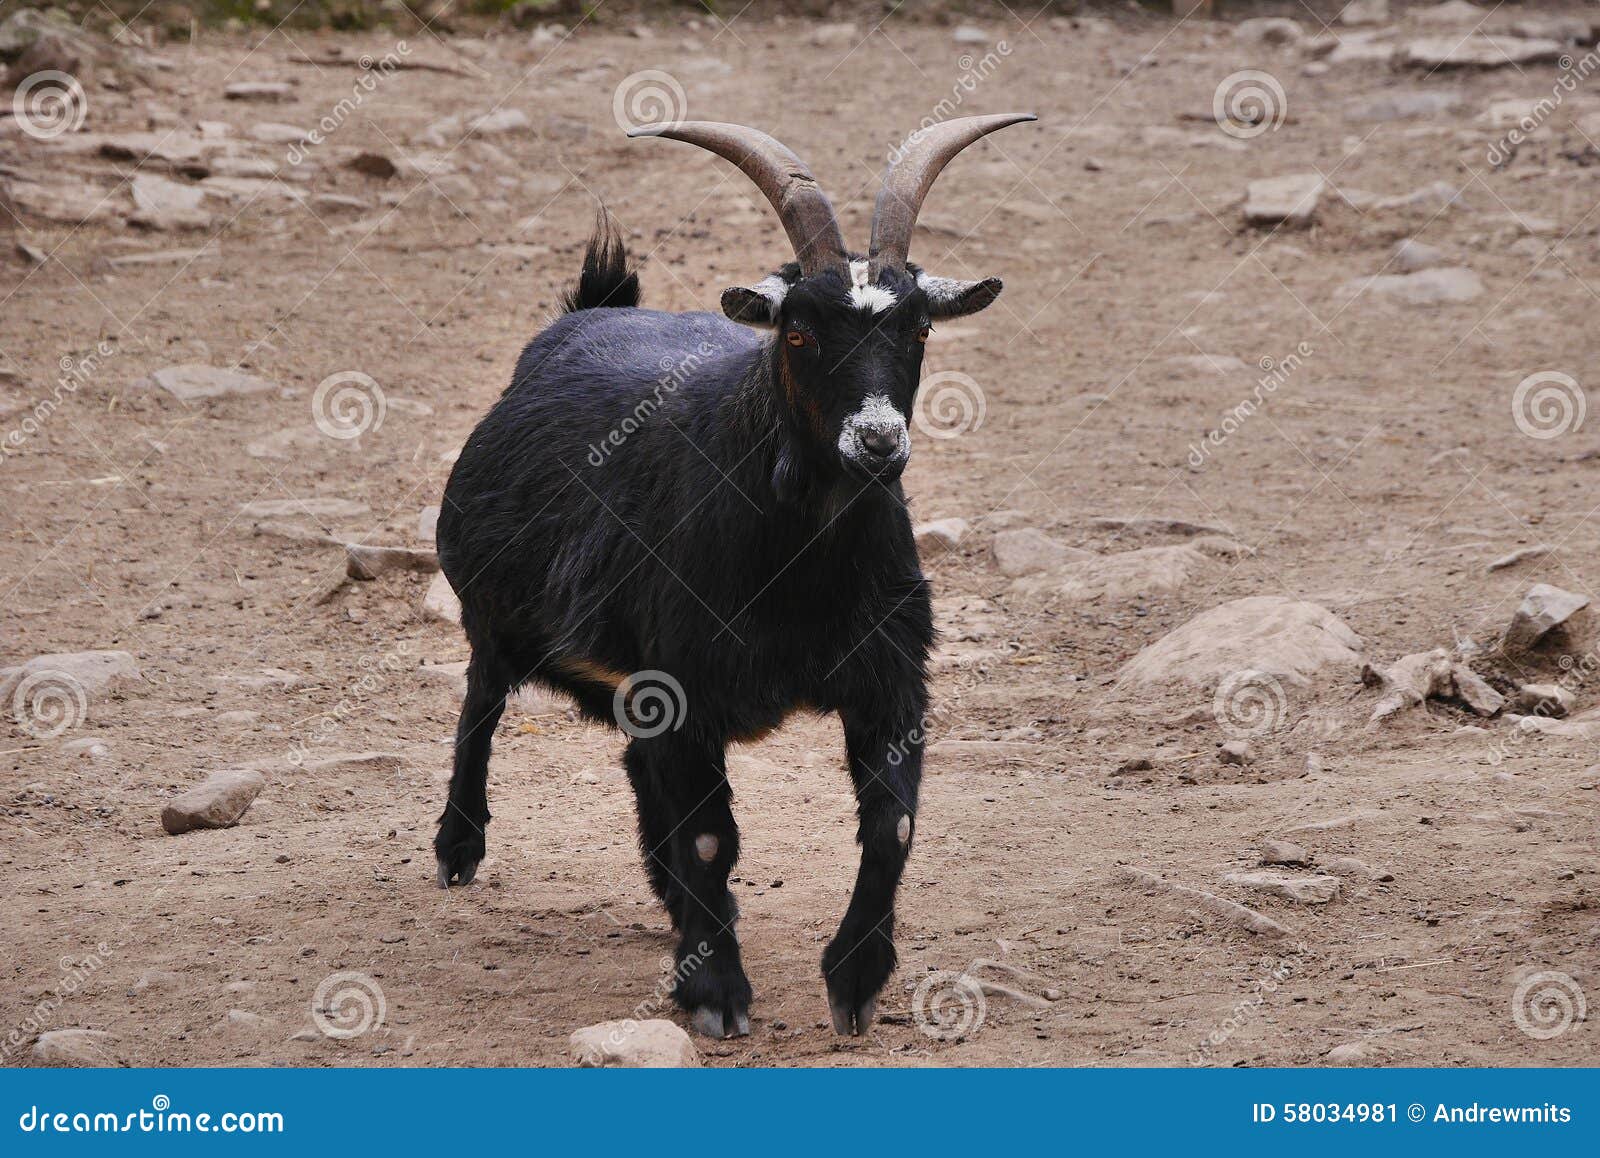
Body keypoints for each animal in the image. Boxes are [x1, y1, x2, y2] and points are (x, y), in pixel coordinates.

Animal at [434, 115, 1035, 1038]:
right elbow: (713, 837)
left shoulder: (889, 678)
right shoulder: (683, 687)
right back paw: (459, 848)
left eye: (920, 331)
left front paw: (855, 979)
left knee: (638, 773)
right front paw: (718, 991)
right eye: (799, 331)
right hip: (498, 615)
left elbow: (890, 825)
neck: (801, 568)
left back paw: (669, 901)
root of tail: (588, 313)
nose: (877, 442)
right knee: (481, 700)